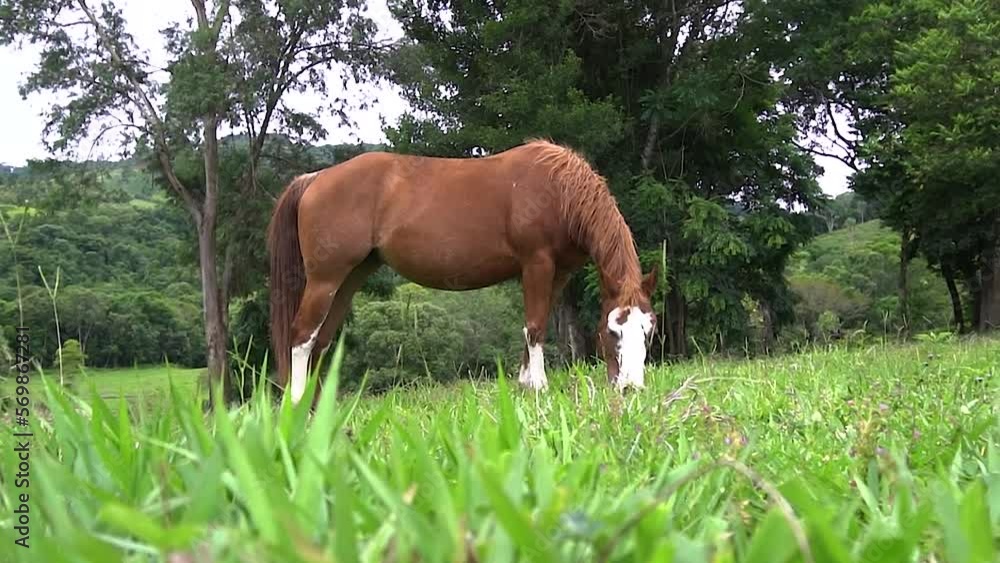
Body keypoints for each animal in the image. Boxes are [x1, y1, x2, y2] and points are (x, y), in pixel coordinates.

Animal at [267, 139, 658, 405]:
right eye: (612, 332)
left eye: (649, 331)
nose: (631, 388)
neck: (558, 190)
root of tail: (315, 178)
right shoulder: (537, 263)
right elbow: (534, 326)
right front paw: (540, 386)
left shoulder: (558, 273)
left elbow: (536, 324)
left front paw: (524, 383)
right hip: (325, 279)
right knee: (301, 336)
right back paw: (298, 403)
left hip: (350, 278)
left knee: (321, 339)